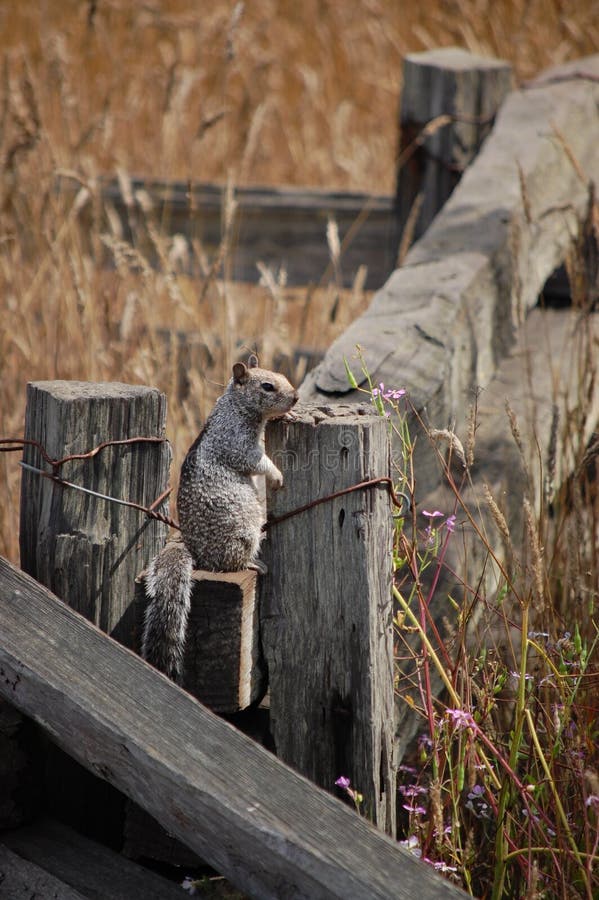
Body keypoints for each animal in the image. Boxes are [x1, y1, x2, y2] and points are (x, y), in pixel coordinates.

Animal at [141, 356, 298, 682]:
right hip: (240, 535)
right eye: (267, 386)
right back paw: (252, 563)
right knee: (229, 563)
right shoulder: (237, 443)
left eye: (282, 375)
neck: (235, 407)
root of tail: (197, 554)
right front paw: (276, 475)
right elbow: (256, 461)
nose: (296, 398)